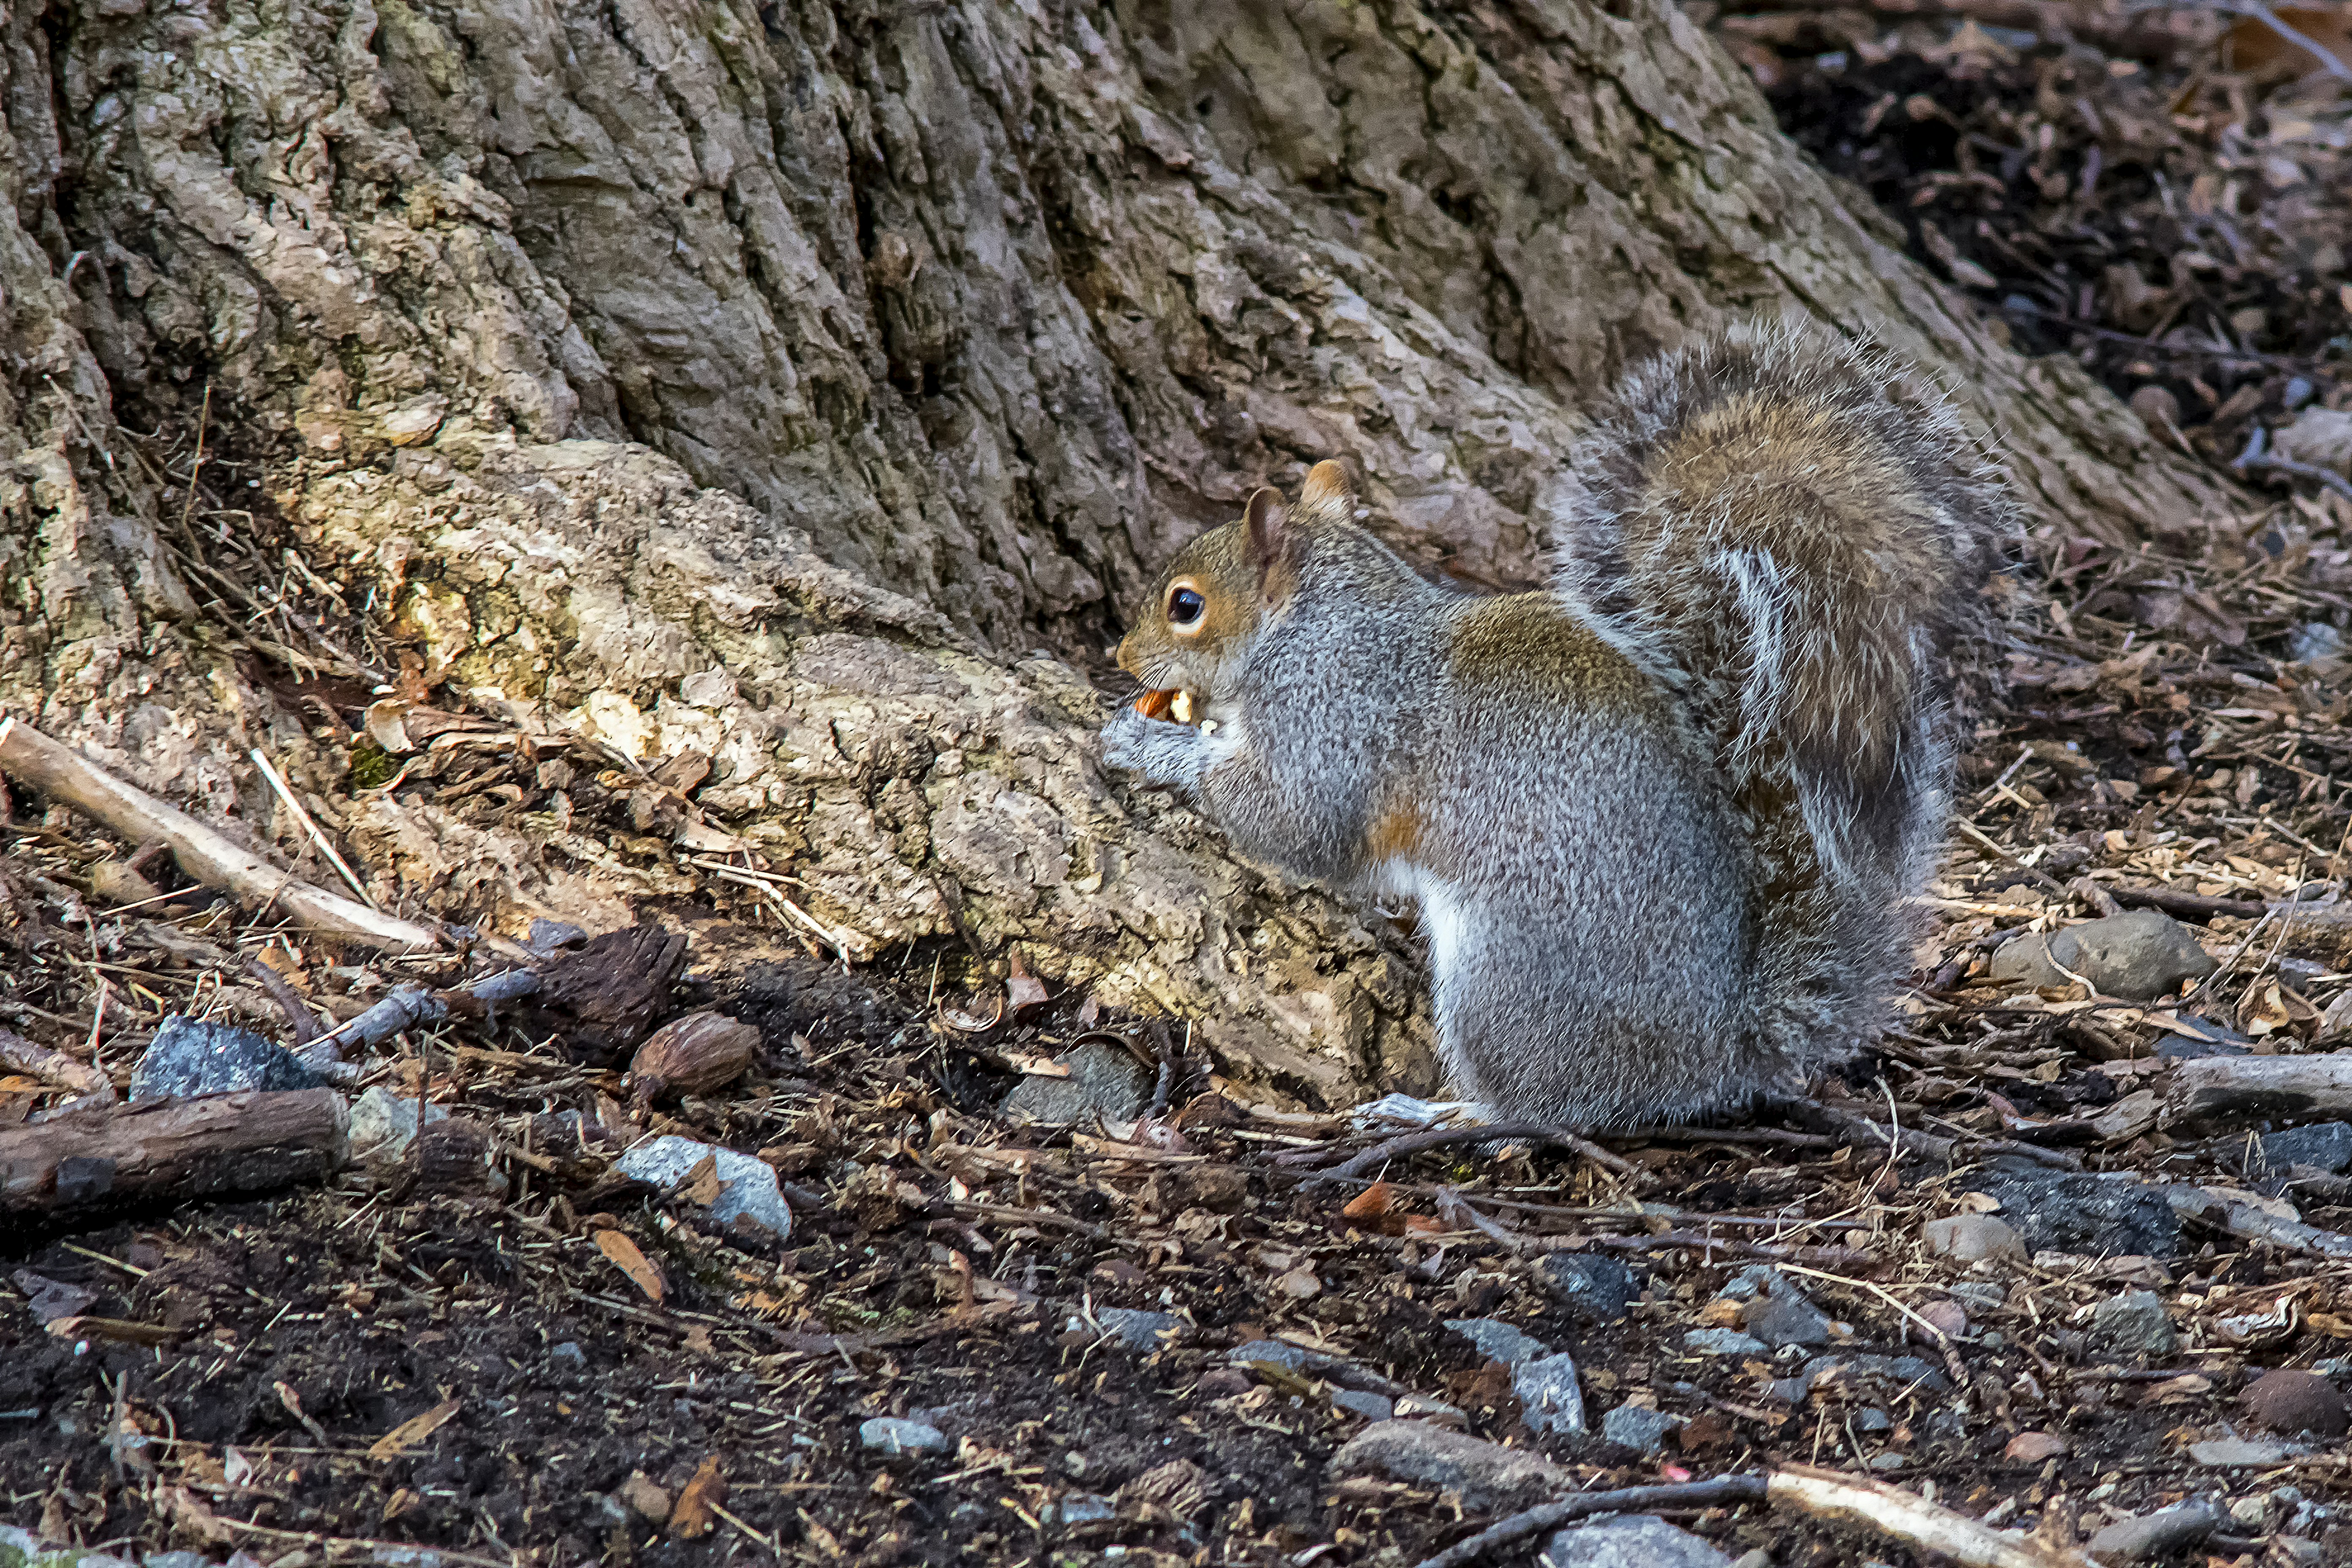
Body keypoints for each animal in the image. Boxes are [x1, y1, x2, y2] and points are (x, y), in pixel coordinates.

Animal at [1100, 322, 2007, 1128]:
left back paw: (1432, 1111)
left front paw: (1152, 744)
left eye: (1185, 606)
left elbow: (1293, 823)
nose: (1119, 652)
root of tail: (1713, 1051)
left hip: (1501, 978)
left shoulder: (1335, 716)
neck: (1314, 623)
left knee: (1541, 1105)